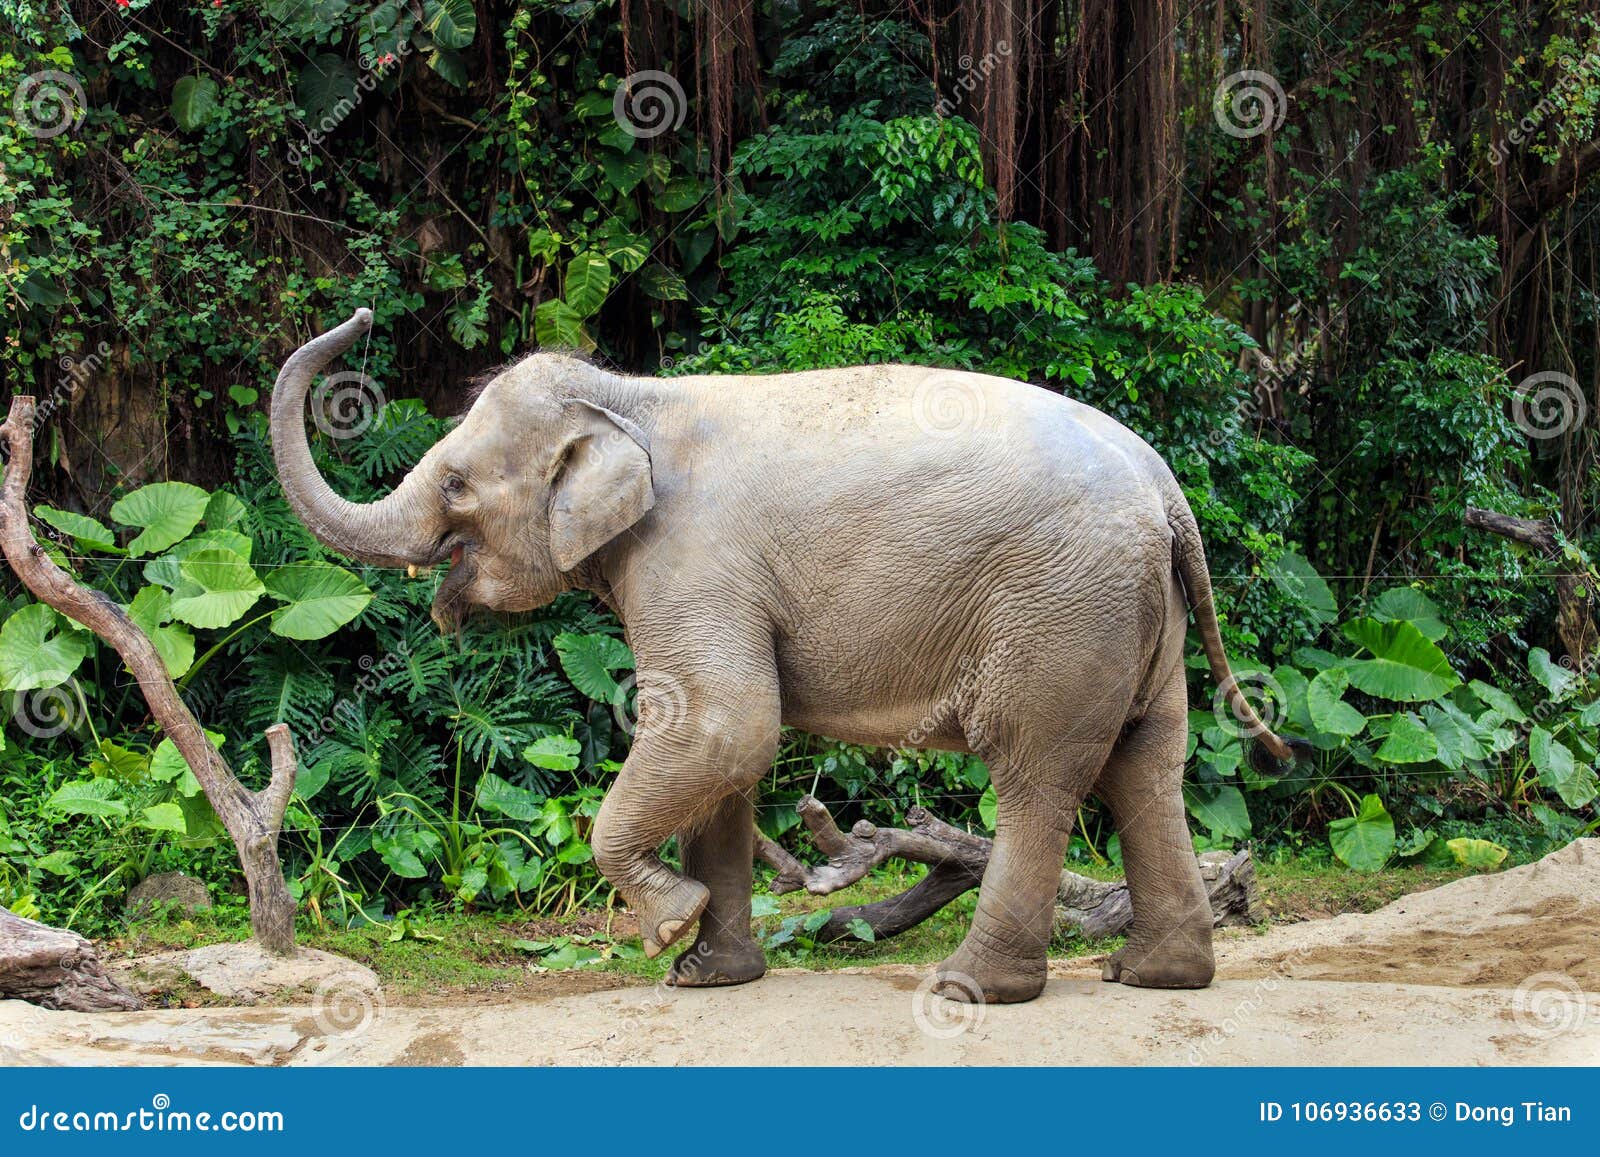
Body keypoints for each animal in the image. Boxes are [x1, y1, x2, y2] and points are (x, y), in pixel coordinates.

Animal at [270, 308, 1298, 1004]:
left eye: (455, 483)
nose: (362, 321)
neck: (633, 394)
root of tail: (1166, 488)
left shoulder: (692, 562)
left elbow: (725, 727)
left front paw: (669, 928)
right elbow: (725, 758)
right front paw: (705, 973)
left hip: (1059, 610)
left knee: (1037, 776)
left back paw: (969, 987)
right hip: (1134, 614)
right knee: (1147, 763)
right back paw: (1151, 973)